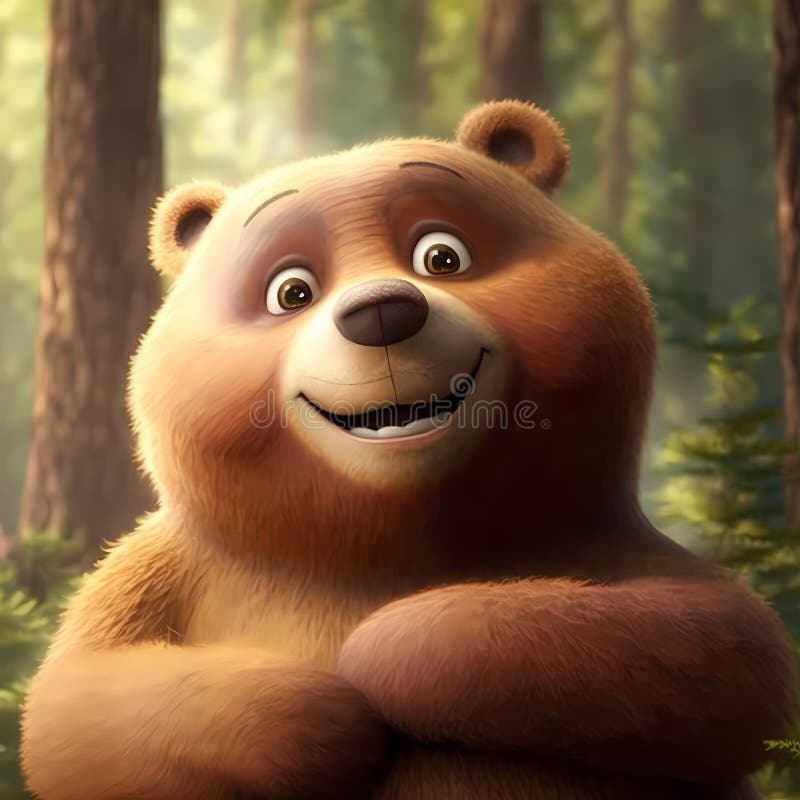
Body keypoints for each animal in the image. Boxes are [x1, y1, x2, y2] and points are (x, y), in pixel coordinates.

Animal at [20, 100, 797, 800]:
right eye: (291, 291)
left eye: (442, 255)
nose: (382, 311)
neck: (380, 544)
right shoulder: (163, 566)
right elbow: (74, 713)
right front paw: (314, 712)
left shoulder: (615, 545)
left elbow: (725, 652)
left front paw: (391, 646)